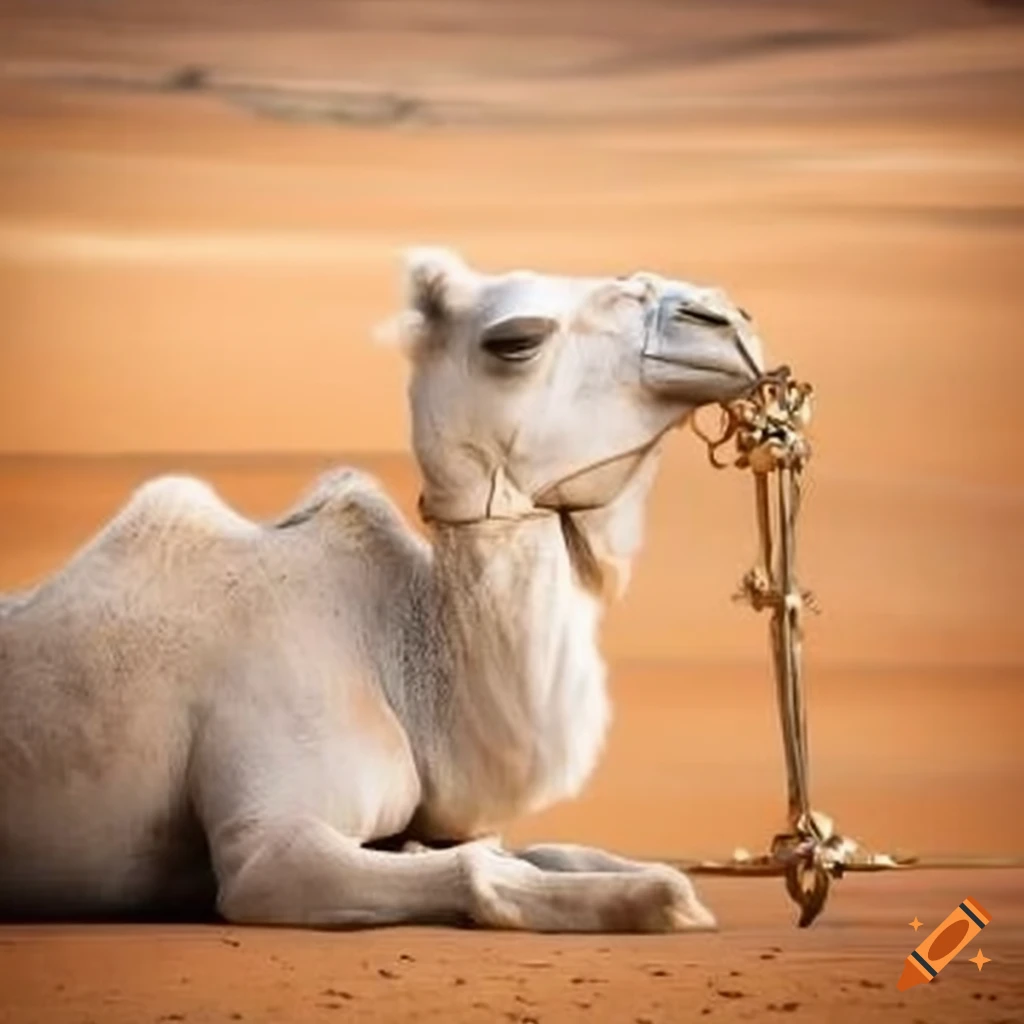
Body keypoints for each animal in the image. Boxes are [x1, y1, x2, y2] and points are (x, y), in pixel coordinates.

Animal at [0, 248, 763, 931]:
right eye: (515, 341)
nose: (725, 319)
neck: (392, 648)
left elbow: (538, 848)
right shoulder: (270, 846)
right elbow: (477, 867)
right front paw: (663, 900)